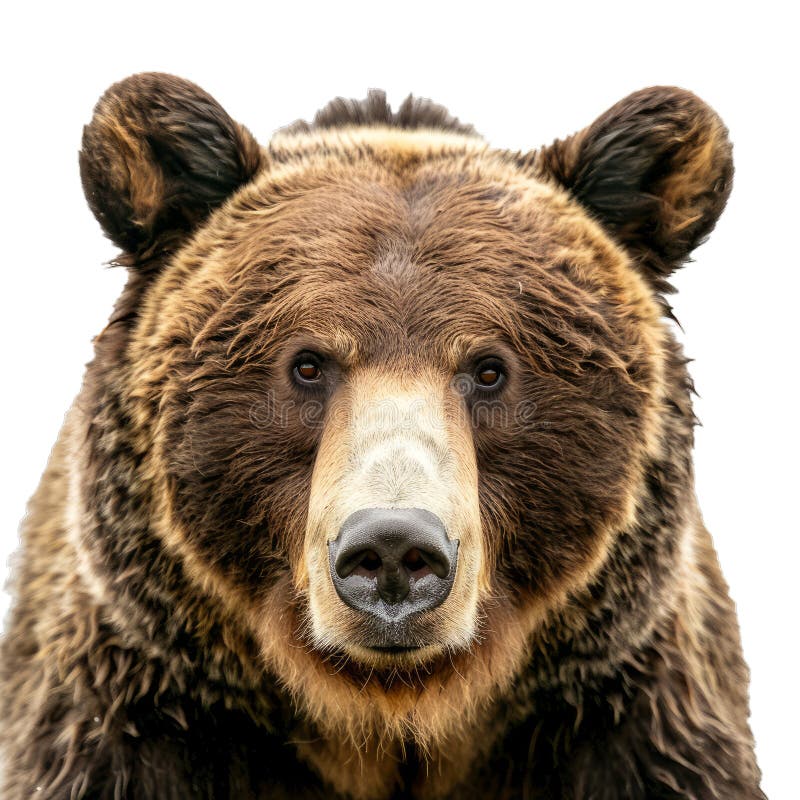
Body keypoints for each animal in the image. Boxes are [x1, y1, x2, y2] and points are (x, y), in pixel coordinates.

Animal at [0, 72, 765, 799]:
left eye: (490, 369)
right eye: (308, 363)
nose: (394, 548)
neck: (385, 723)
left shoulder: (630, 720)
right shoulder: (134, 714)